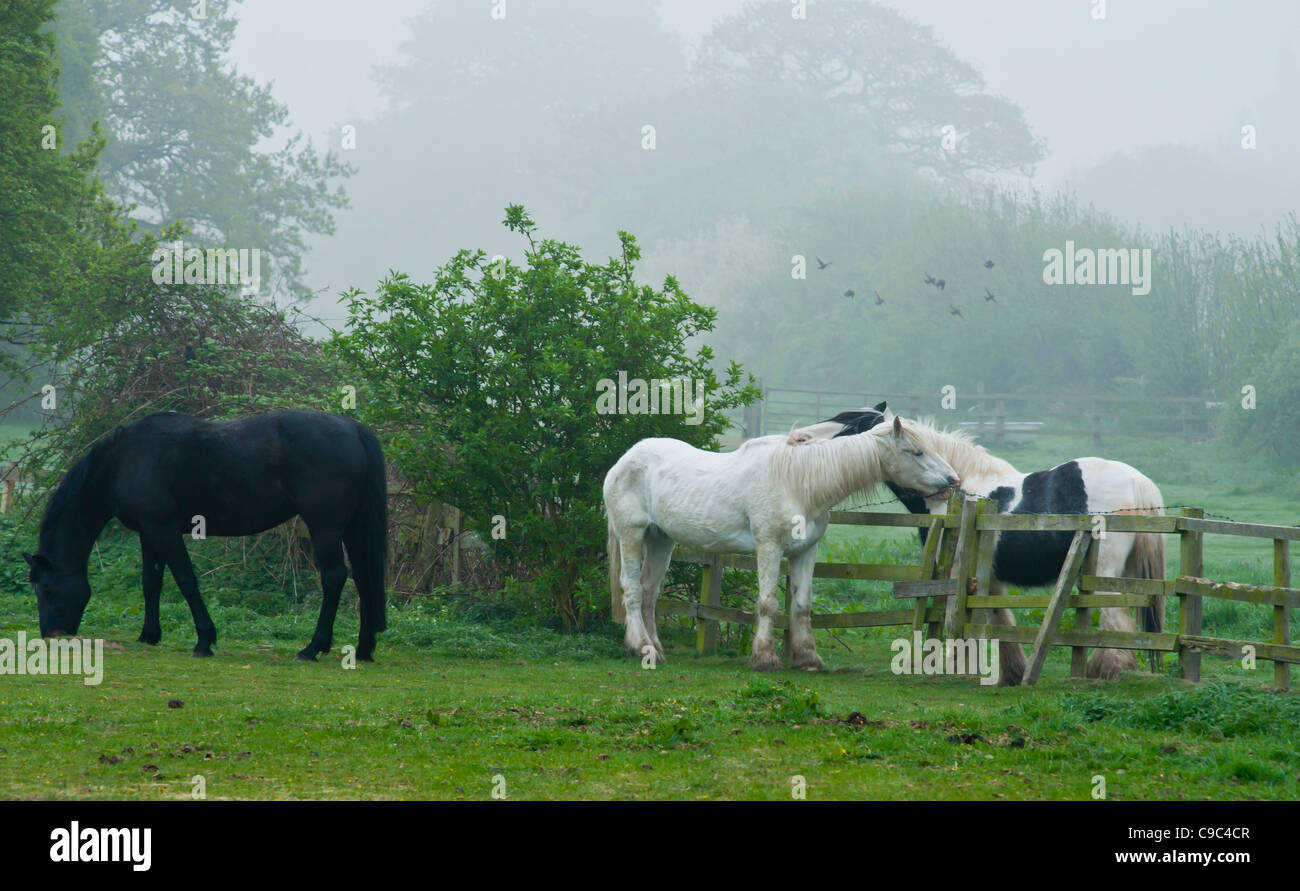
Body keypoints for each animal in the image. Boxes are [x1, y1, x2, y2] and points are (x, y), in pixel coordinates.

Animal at [23, 410, 389, 662]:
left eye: (48, 589)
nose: (50, 635)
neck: (124, 460)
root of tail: (353, 428)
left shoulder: (164, 530)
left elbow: (186, 580)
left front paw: (204, 640)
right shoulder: (148, 533)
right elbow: (151, 583)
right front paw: (149, 635)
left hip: (324, 527)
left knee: (334, 577)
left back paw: (312, 648)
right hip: (350, 526)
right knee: (363, 578)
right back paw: (363, 648)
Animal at [603, 415, 960, 672]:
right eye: (917, 452)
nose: (952, 480)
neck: (799, 482)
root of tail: (622, 462)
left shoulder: (805, 552)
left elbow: (801, 606)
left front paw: (808, 659)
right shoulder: (769, 548)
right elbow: (768, 603)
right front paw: (764, 658)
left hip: (661, 540)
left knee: (649, 592)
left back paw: (656, 648)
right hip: (632, 535)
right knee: (632, 590)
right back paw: (641, 647)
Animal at [788, 405, 1165, 685]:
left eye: (850, 424)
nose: (796, 437)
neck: (959, 489)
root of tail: (1140, 483)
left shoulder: (957, 572)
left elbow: (959, 620)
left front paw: (953, 667)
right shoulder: (989, 580)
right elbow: (999, 622)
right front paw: (1010, 674)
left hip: (1105, 575)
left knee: (1117, 622)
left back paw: (1107, 672)